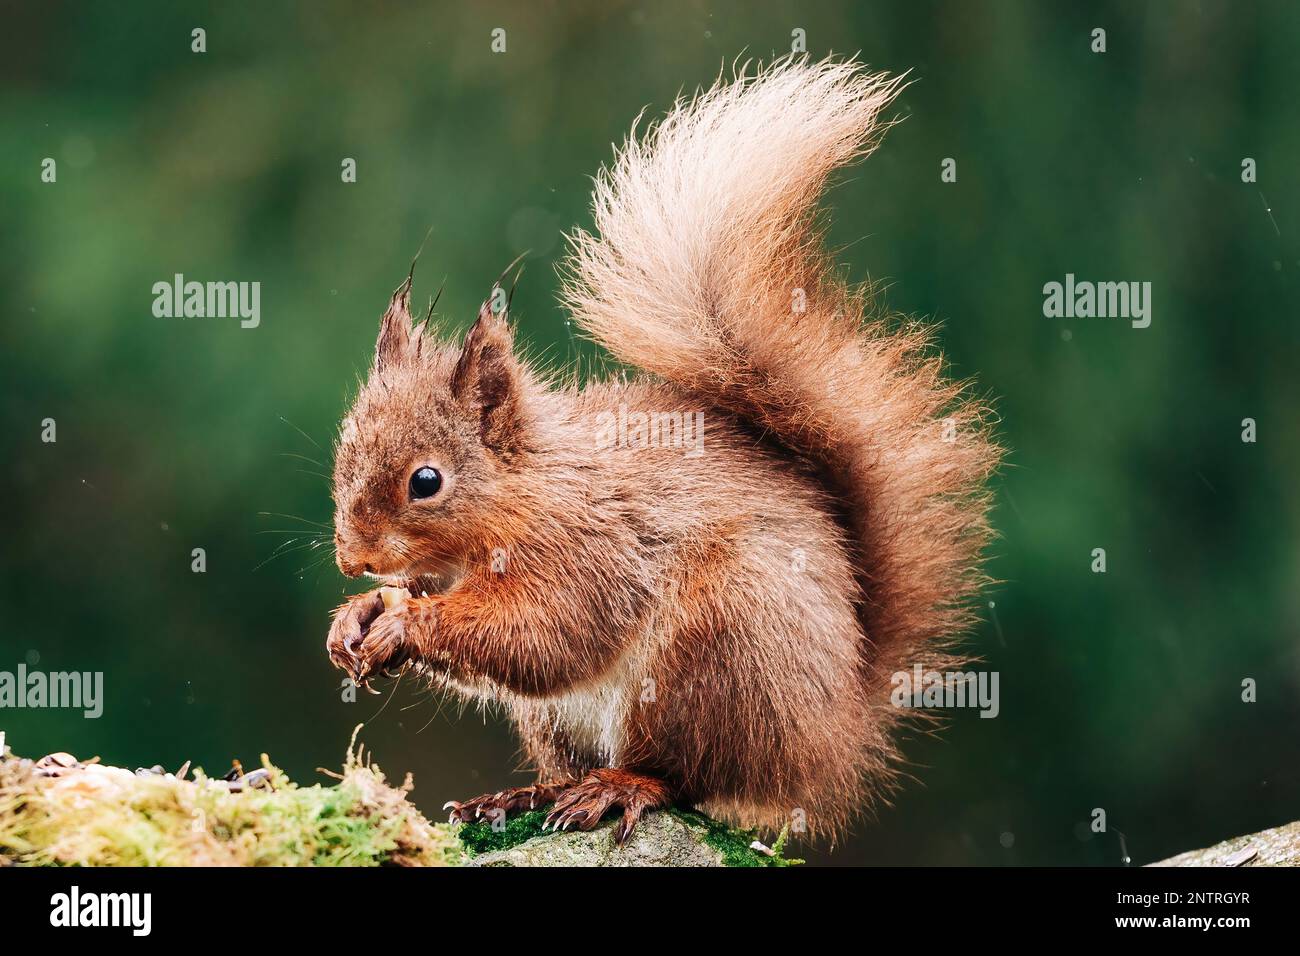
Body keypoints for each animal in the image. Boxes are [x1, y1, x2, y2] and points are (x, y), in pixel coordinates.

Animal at [326, 57, 1000, 844]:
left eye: (426, 481)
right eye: (344, 453)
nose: (353, 559)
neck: (529, 487)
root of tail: (833, 738)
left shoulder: (590, 547)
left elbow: (546, 632)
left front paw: (405, 621)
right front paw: (357, 617)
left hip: (713, 651)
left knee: (688, 777)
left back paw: (620, 788)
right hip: (564, 720)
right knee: (580, 766)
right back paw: (522, 795)